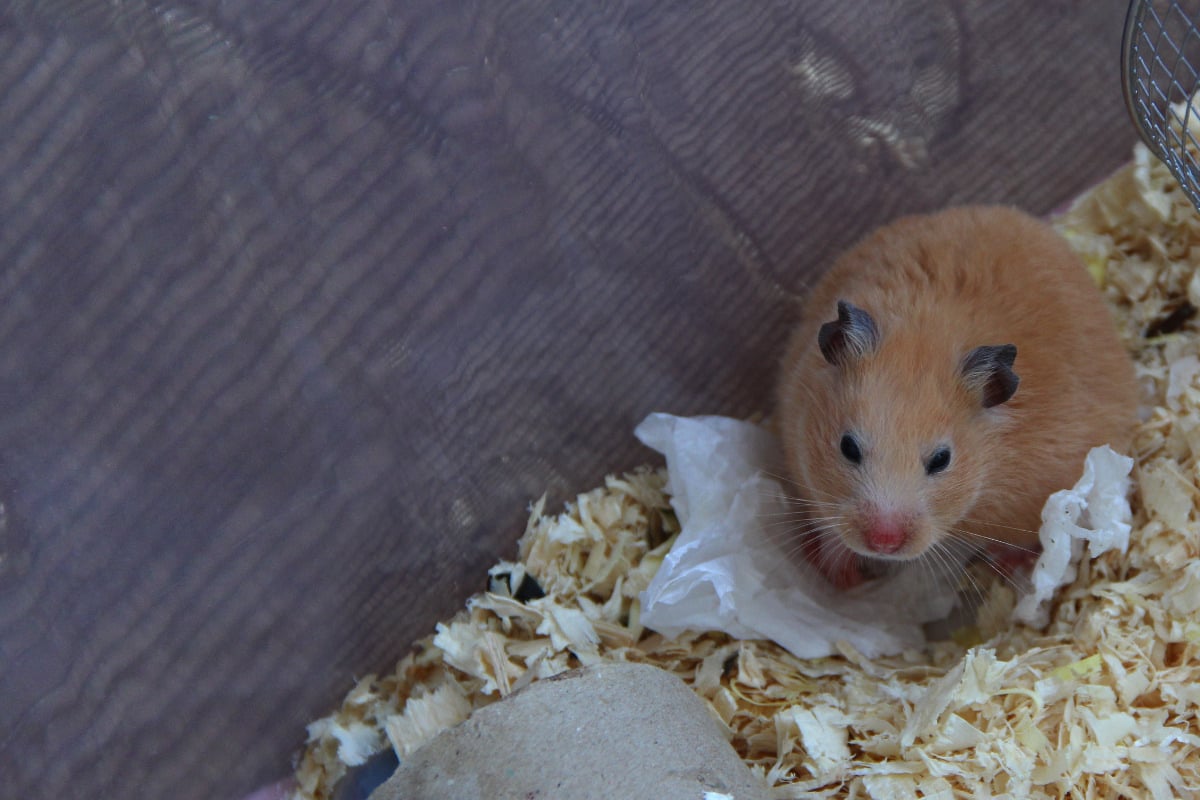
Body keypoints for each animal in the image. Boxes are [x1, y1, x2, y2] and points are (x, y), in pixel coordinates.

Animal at [776, 206, 1138, 590]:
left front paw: (1007, 559)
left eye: (941, 460)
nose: (883, 543)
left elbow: (1037, 534)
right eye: (847, 447)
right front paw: (840, 573)